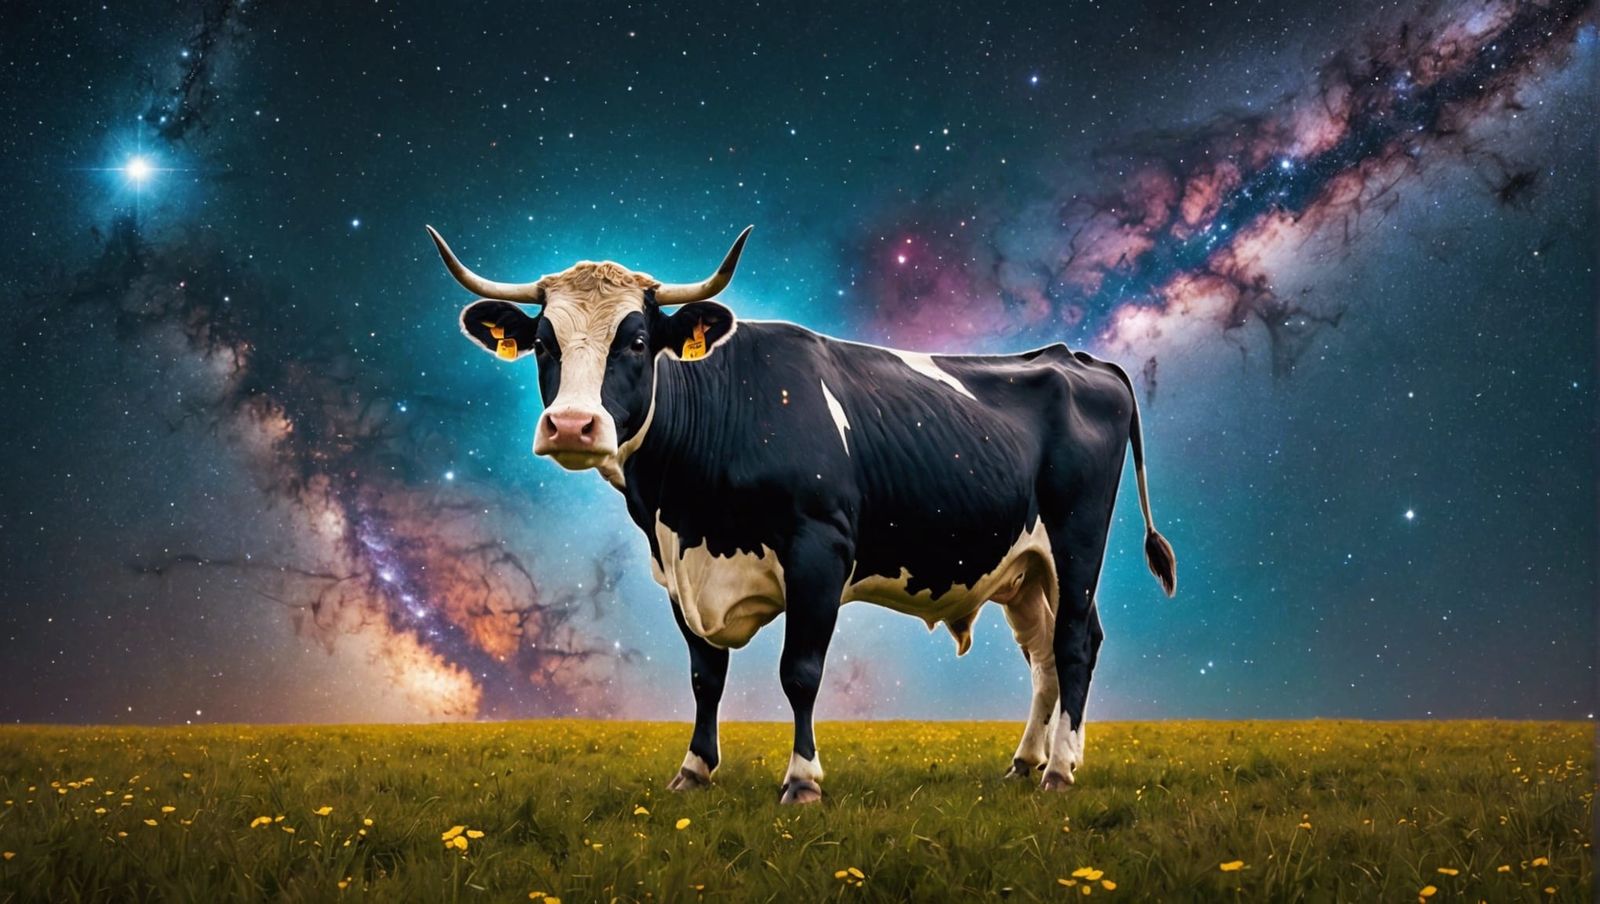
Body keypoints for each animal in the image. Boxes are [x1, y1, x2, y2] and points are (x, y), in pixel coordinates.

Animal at [427, 225, 1176, 803]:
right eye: (544, 344)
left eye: (637, 341)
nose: (572, 426)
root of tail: (1074, 357)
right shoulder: (677, 568)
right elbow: (705, 676)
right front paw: (693, 771)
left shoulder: (820, 550)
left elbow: (801, 671)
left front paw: (803, 780)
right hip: (1022, 567)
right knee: (1045, 656)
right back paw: (1024, 763)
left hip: (1078, 542)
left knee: (1075, 644)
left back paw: (1060, 769)